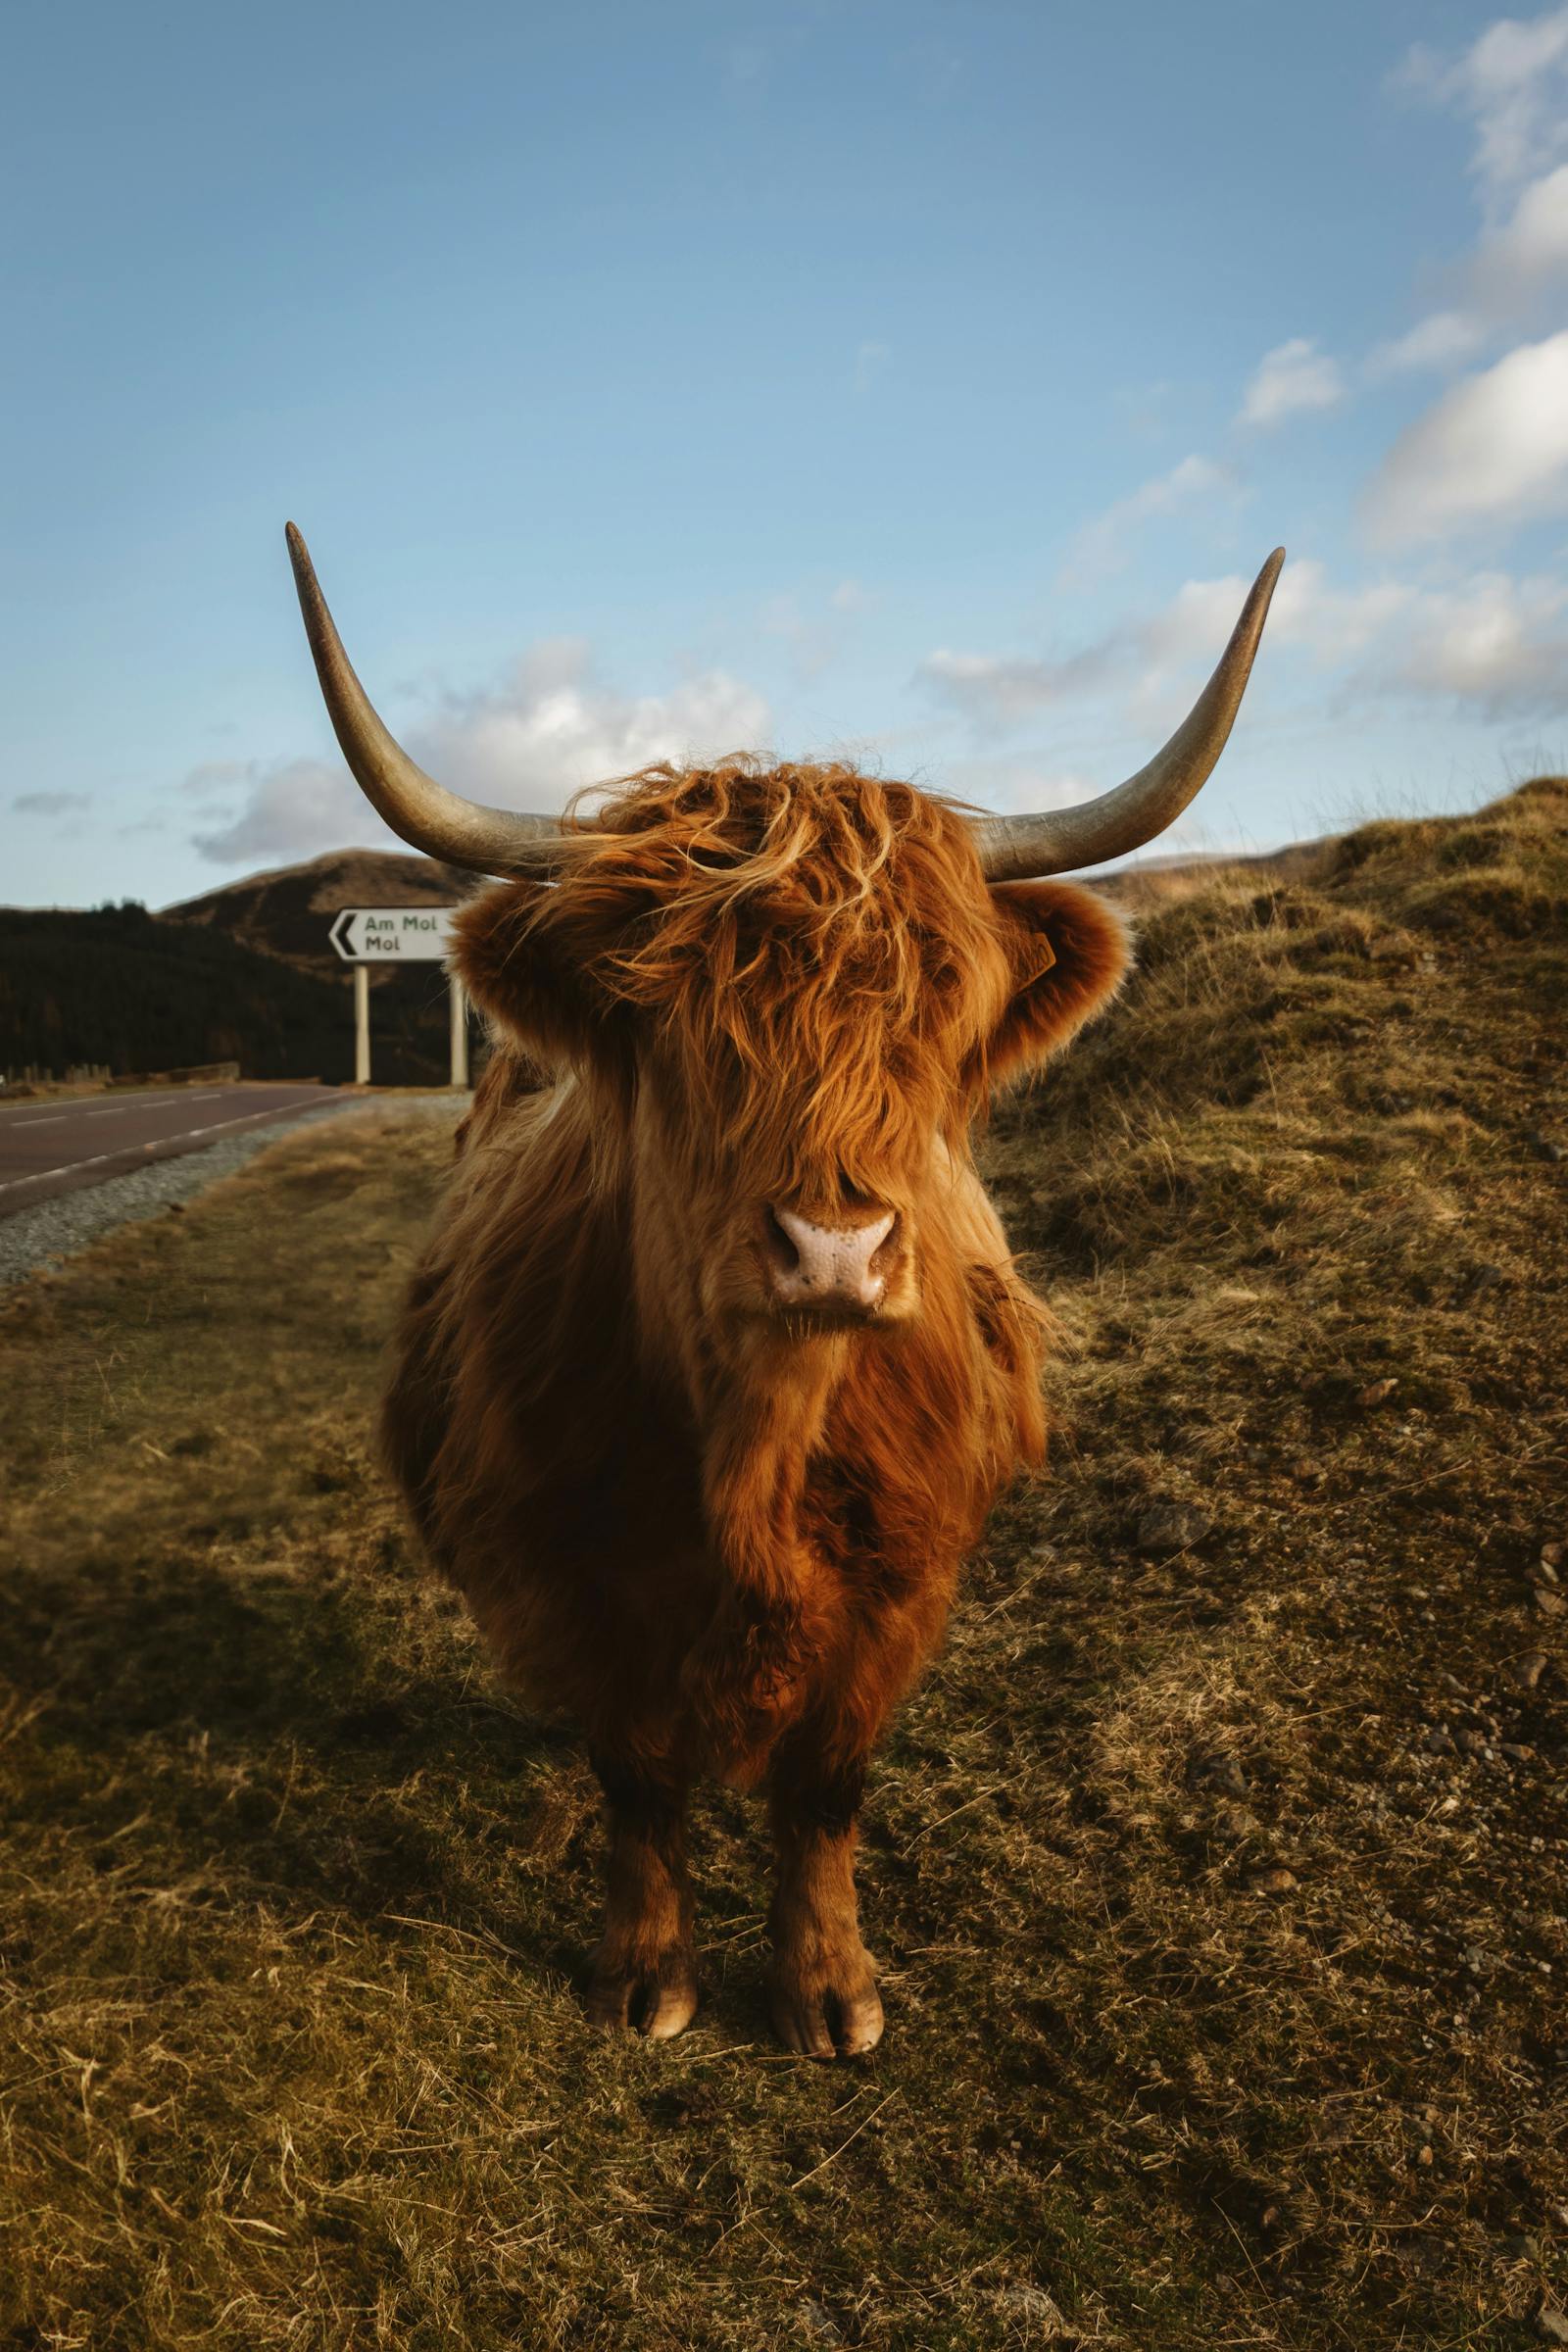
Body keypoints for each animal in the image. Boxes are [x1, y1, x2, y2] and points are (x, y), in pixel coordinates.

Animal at [286, 524, 1282, 2057]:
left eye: (932, 1011)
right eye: (673, 1020)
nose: (833, 1251)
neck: (759, 1436)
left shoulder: (902, 1586)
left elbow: (824, 1788)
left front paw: (829, 1990)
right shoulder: (574, 1580)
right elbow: (637, 1776)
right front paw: (647, 1975)